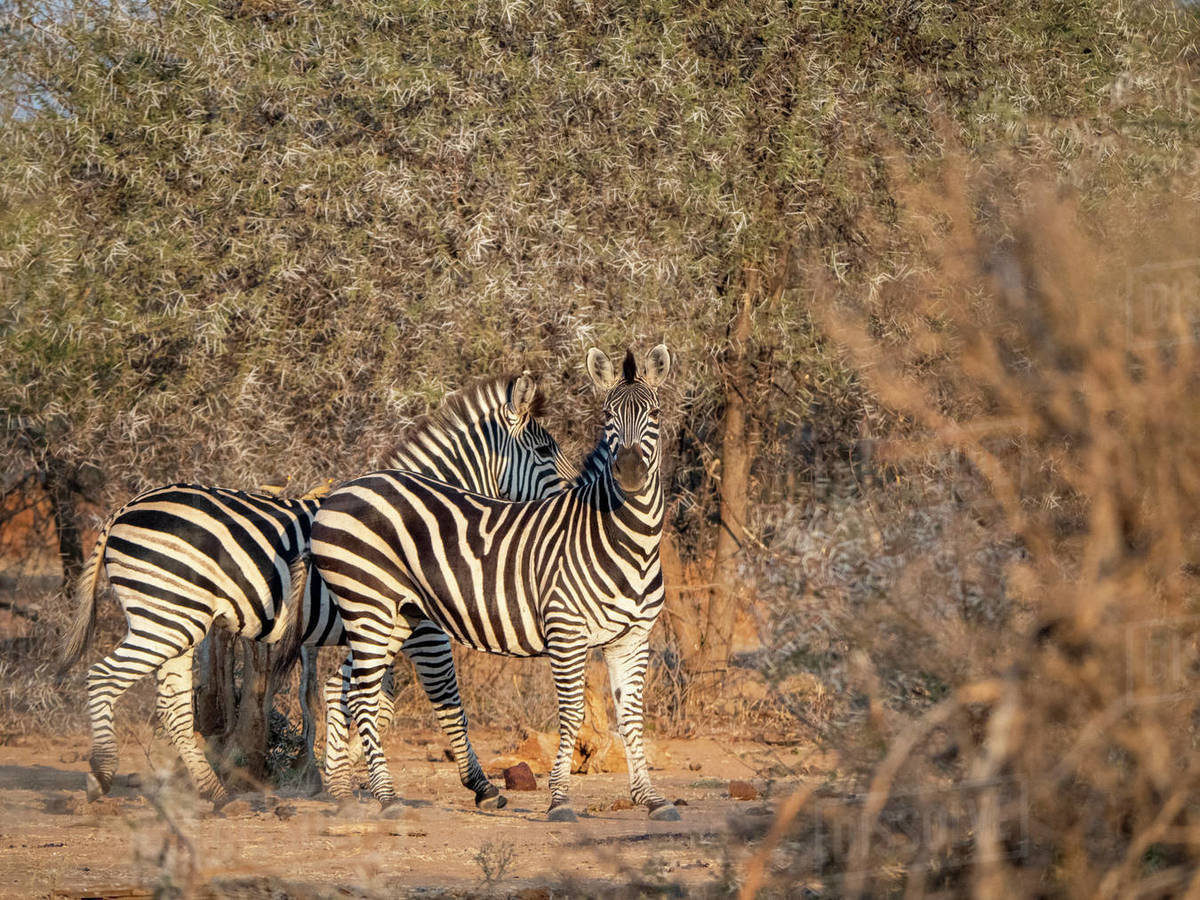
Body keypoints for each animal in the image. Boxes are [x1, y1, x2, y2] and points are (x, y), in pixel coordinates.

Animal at [62, 373, 572, 808]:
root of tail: (126, 506)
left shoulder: (382, 627)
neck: (429, 518)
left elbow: (358, 699)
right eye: (545, 451)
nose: (577, 494)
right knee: (104, 677)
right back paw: (101, 775)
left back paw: (215, 793)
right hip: (165, 618)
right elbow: (442, 699)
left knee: (171, 705)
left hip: (178, 621)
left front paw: (339, 775)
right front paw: (479, 786)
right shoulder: (423, 627)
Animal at [287, 345, 679, 822]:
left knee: (345, 689)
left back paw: (346, 791)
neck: (625, 541)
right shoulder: (564, 630)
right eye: (606, 417)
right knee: (363, 697)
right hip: (370, 607)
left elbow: (632, 717)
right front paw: (558, 800)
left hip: (391, 618)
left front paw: (651, 798)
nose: (629, 473)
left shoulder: (634, 637)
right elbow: (566, 714)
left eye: (655, 413)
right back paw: (386, 797)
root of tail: (342, 491)